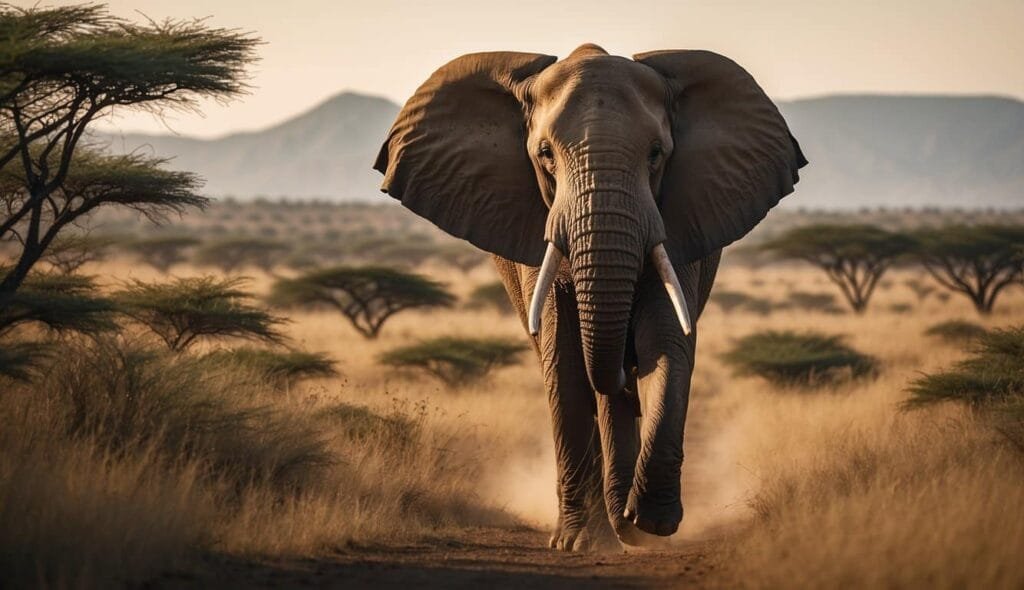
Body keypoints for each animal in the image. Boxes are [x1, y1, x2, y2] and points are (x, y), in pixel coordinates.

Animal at [373, 43, 806, 551]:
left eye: (656, 154)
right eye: (545, 155)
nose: (624, 367)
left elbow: (666, 342)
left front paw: (653, 524)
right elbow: (565, 359)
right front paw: (582, 543)